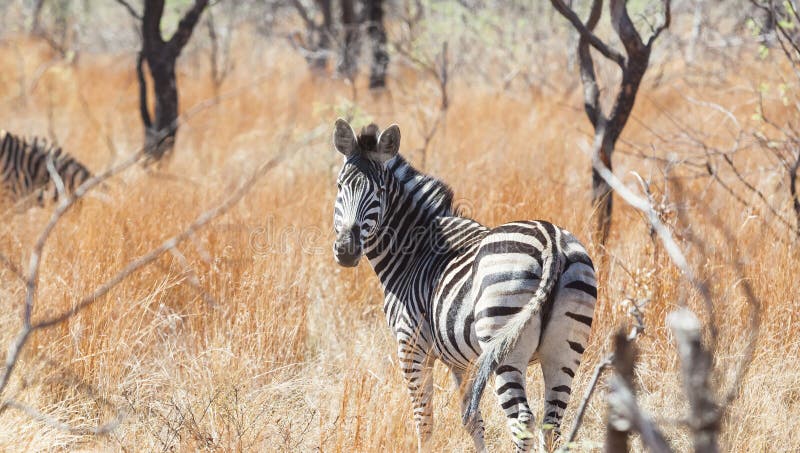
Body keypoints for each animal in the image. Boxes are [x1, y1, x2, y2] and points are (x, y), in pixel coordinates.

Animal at [331, 119, 597, 452]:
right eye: (340, 186)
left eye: (378, 192)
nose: (346, 250)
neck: (415, 250)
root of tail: (552, 241)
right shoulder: (463, 362)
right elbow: (471, 419)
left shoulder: (411, 346)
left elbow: (424, 421)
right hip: (564, 349)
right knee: (552, 423)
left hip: (503, 344)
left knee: (522, 420)